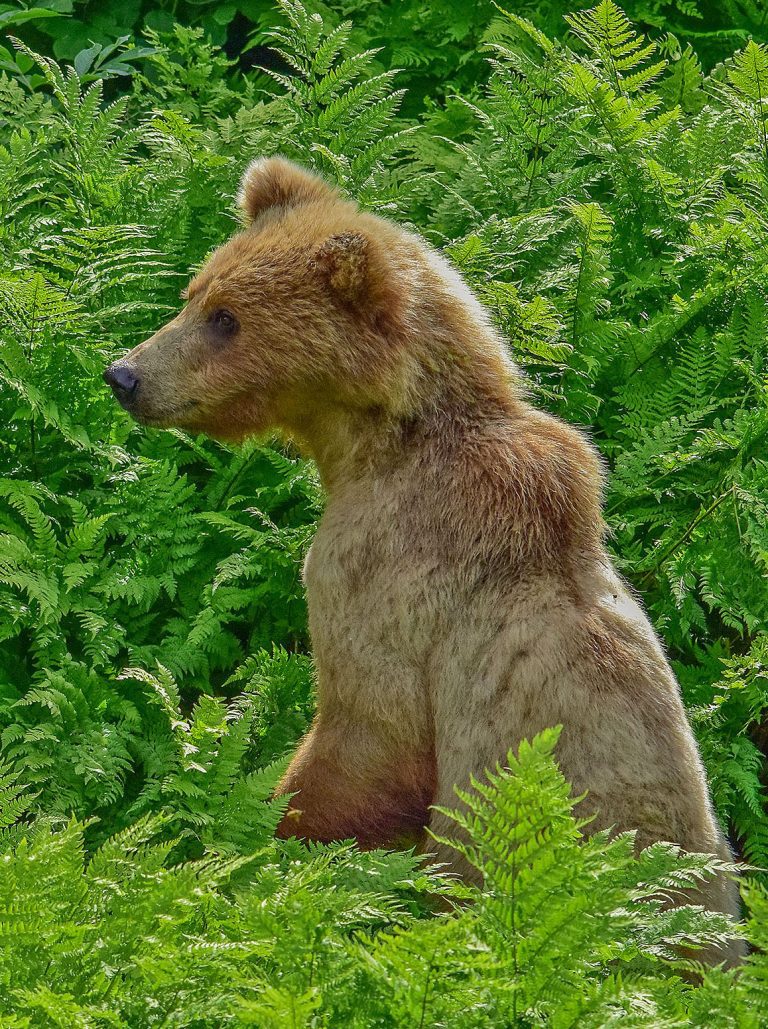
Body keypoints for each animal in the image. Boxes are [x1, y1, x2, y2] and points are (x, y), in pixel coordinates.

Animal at [104, 156, 743, 963]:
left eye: (227, 319)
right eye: (197, 292)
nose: (124, 375)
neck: (373, 446)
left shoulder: (383, 573)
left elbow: (370, 735)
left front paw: (264, 834)